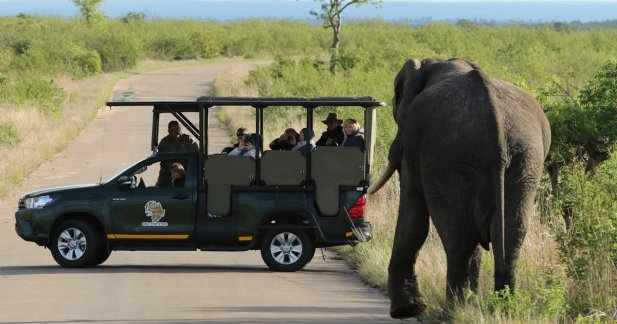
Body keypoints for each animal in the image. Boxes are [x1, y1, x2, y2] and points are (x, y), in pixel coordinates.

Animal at [368, 58, 552, 318]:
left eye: (396, 96)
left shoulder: (413, 142)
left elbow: (413, 220)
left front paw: (406, 310)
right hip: (525, 159)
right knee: (508, 232)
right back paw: (501, 309)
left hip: (451, 160)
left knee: (457, 237)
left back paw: (451, 314)